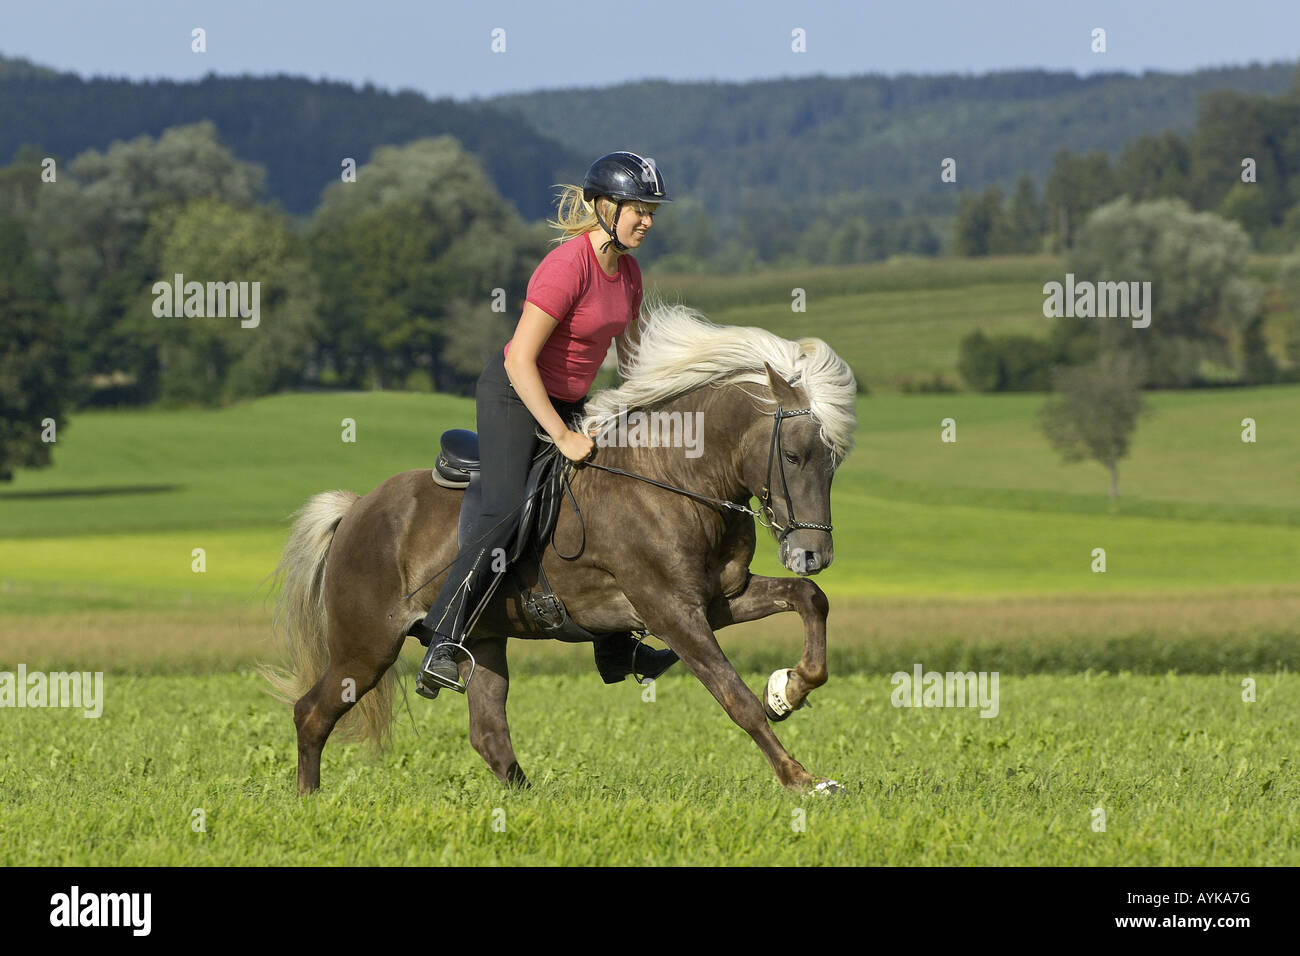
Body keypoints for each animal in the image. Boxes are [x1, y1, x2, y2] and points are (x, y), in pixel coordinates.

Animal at [263, 302, 857, 794]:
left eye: (834, 462)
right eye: (795, 457)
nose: (813, 555)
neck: (675, 480)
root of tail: (357, 508)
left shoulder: (717, 600)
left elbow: (810, 600)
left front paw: (790, 689)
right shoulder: (672, 611)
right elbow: (737, 698)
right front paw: (802, 779)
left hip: (482, 640)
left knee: (488, 733)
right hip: (367, 646)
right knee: (311, 712)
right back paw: (308, 803)